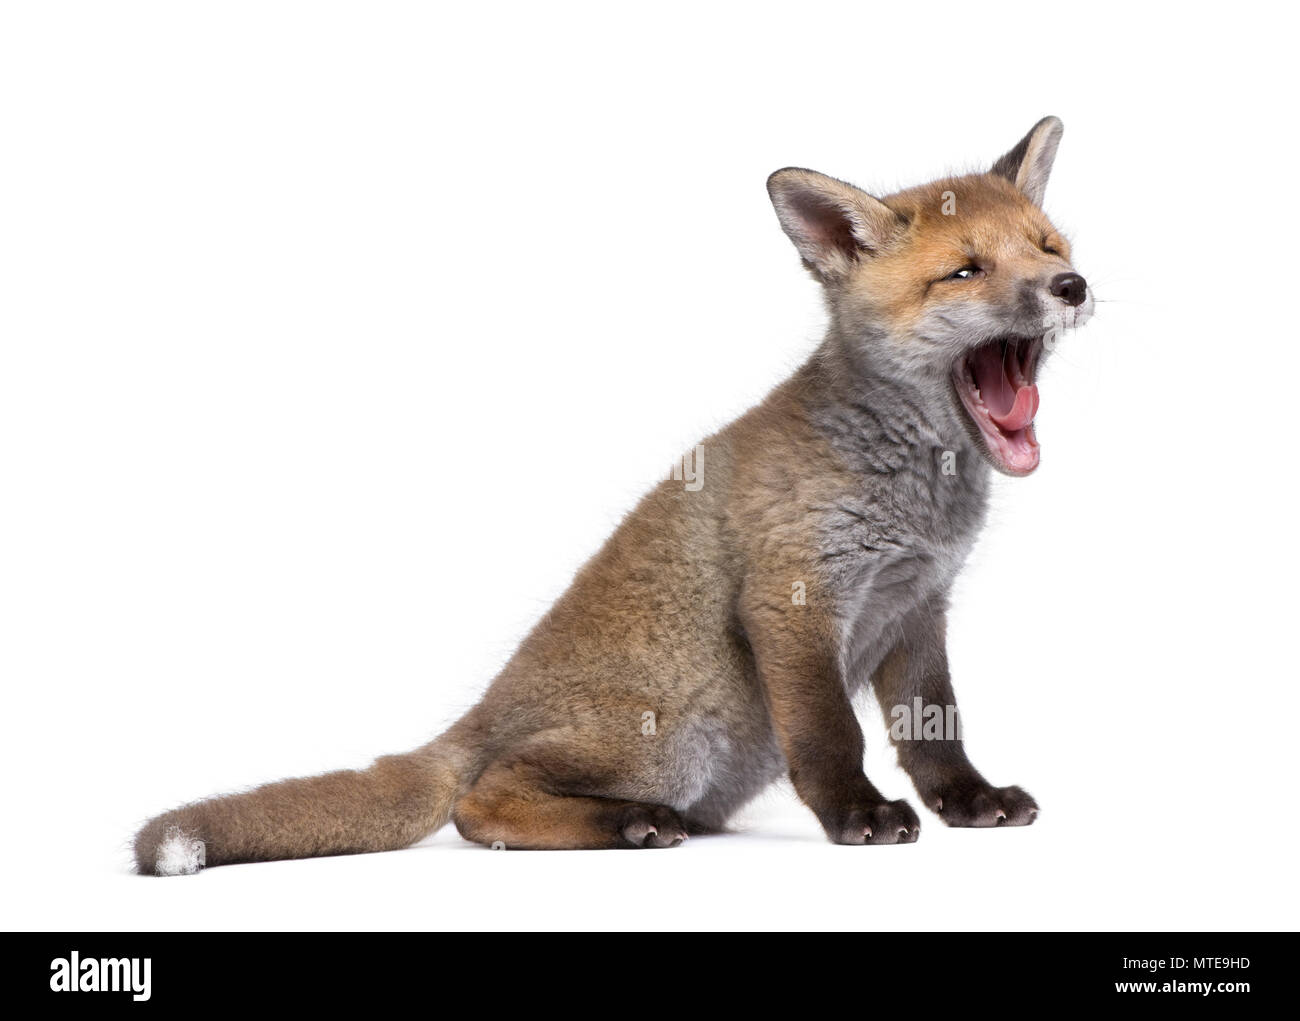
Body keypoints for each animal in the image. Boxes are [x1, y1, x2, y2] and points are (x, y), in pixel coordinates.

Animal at [134, 117, 1093, 874]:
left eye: (1049, 248)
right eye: (964, 271)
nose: (1072, 287)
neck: (915, 497)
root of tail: (482, 711)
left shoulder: (919, 604)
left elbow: (937, 730)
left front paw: (968, 801)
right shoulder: (793, 599)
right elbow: (833, 734)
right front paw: (857, 814)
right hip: (670, 735)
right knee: (477, 804)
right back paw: (629, 823)